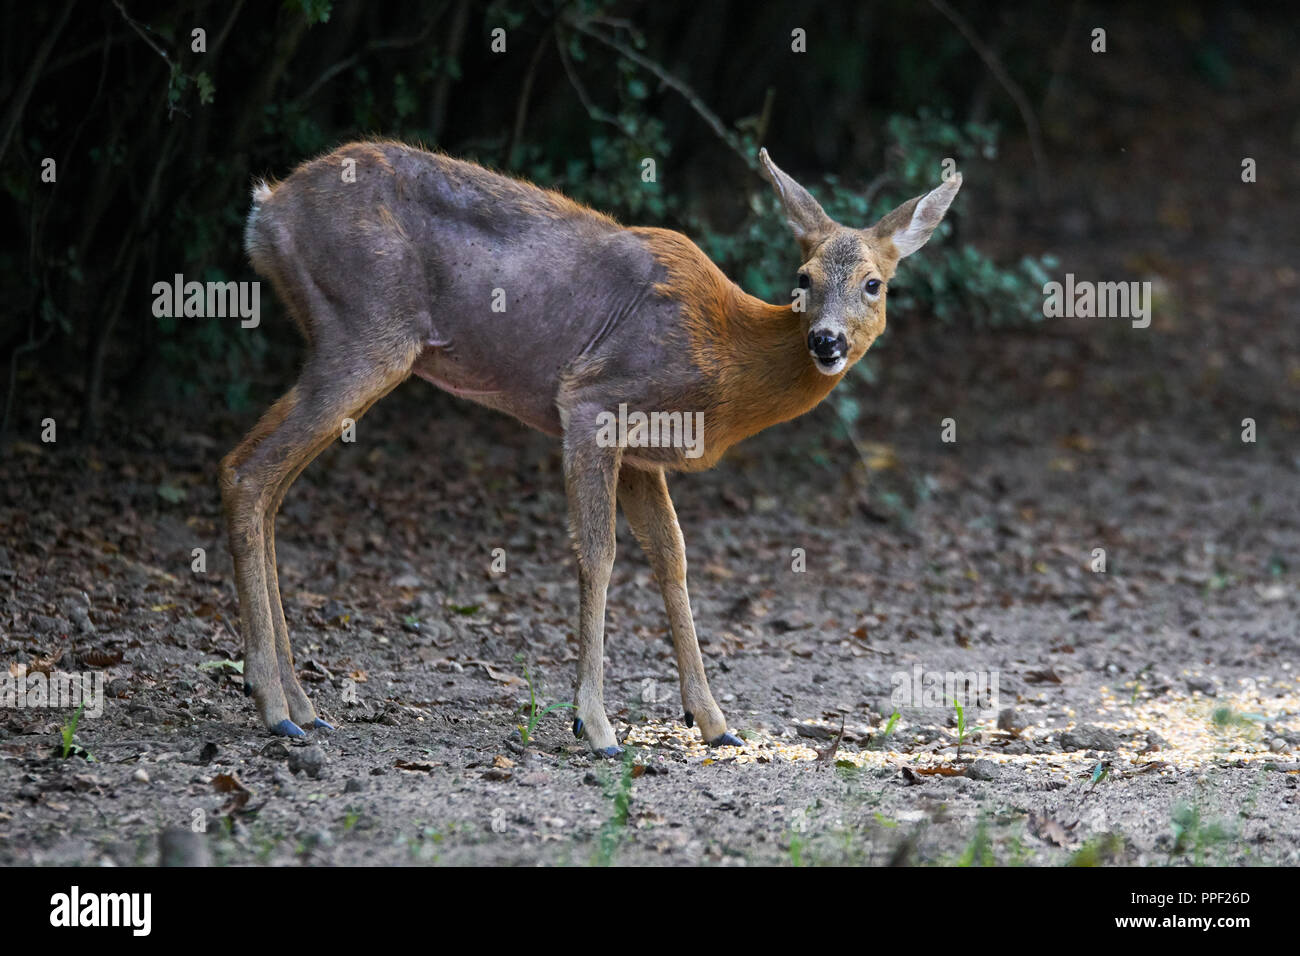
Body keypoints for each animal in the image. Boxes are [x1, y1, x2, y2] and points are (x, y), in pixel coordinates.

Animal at [222, 140, 960, 755]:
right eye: (803, 277)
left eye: (874, 283)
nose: (825, 340)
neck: (724, 357)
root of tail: (267, 209)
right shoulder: (592, 400)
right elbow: (598, 554)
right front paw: (597, 726)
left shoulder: (641, 454)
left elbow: (672, 558)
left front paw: (714, 723)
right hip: (366, 331)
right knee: (244, 470)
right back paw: (275, 708)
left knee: (267, 486)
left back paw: (302, 706)